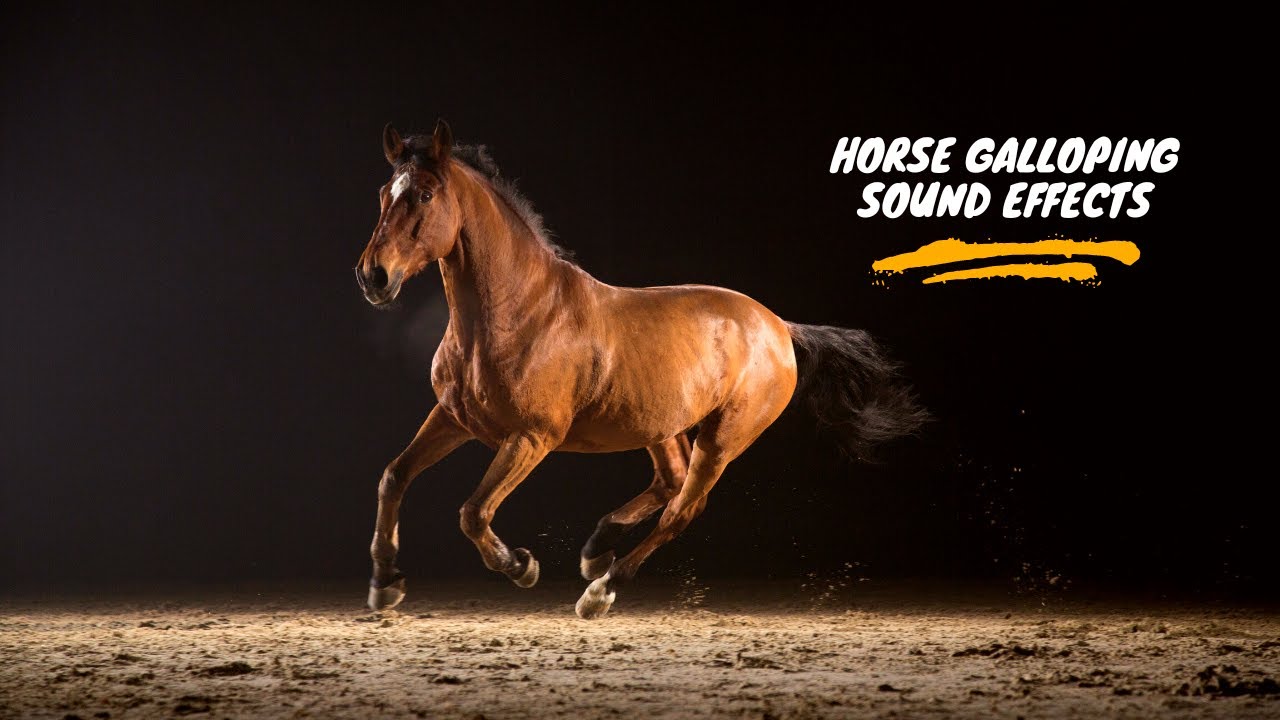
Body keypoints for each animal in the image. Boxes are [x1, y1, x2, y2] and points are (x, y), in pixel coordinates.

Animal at [354, 120, 926, 619]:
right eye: (385, 192)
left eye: (425, 195)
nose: (373, 277)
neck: (519, 313)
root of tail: (780, 328)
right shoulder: (455, 418)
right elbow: (393, 476)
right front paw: (385, 584)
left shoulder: (532, 437)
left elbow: (473, 512)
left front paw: (520, 566)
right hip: (661, 425)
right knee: (670, 480)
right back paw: (596, 549)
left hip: (724, 437)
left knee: (683, 507)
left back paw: (601, 589)